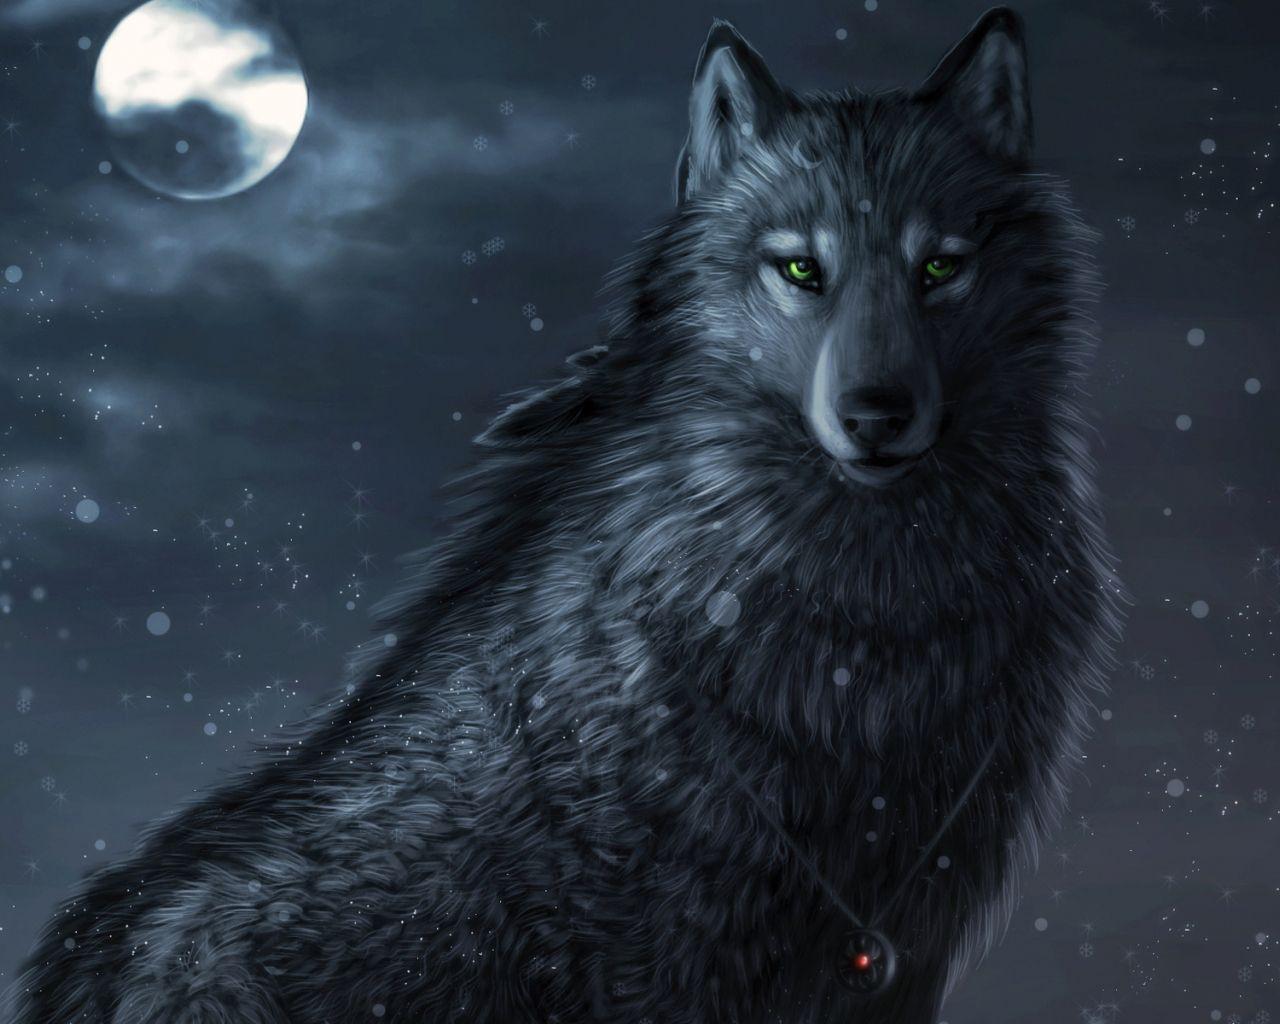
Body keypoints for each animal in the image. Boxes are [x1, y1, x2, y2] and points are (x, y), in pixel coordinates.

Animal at [13, 8, 1122, 1023]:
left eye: (939, 266)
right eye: (803, 269)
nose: (876, 415)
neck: (864, 629)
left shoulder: (900, 945)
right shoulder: (670, 958)